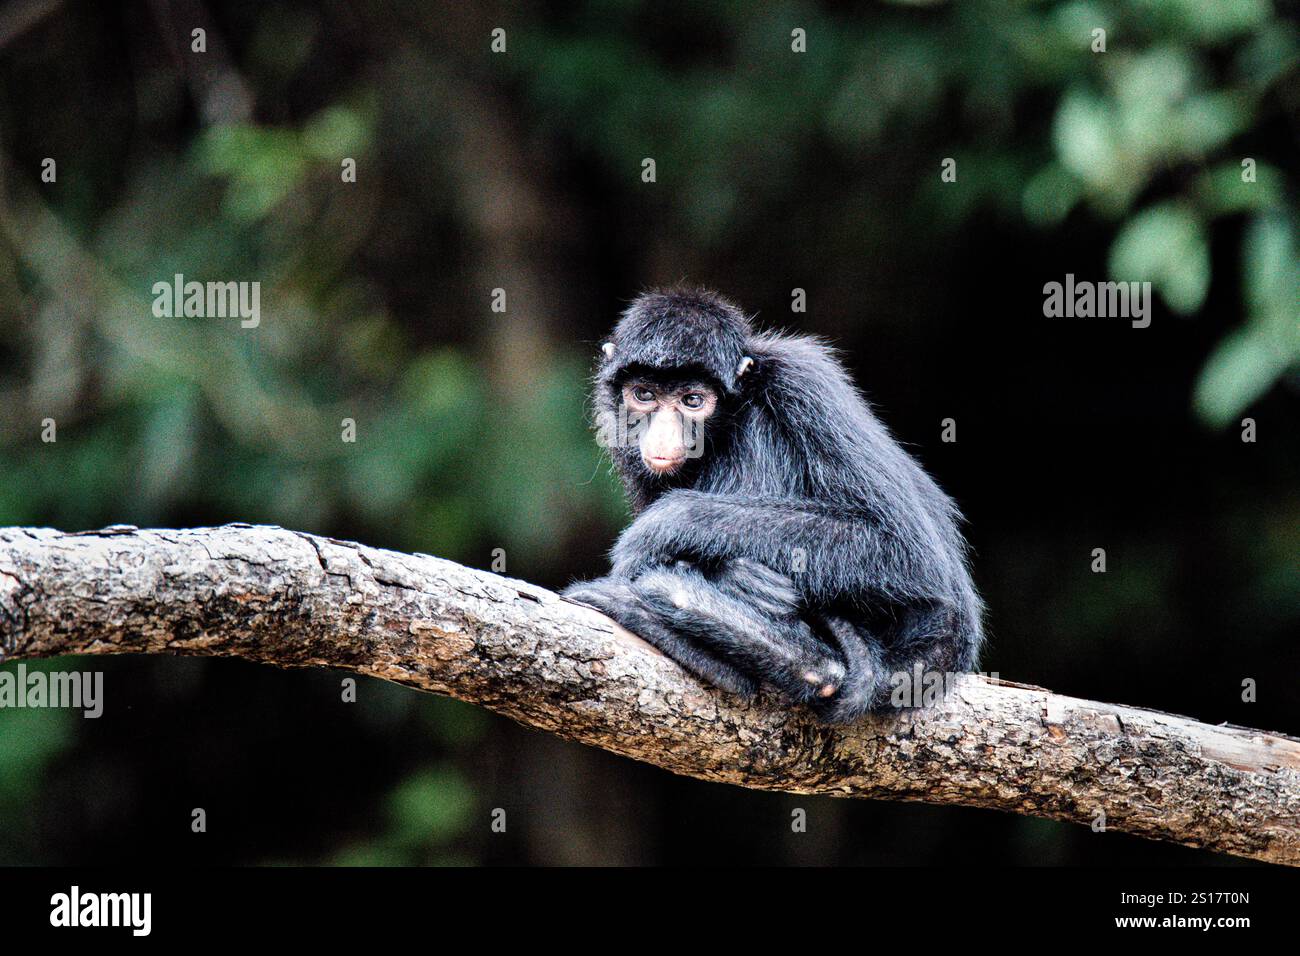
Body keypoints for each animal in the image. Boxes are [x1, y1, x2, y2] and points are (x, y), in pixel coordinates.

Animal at [564, 288, 983, 723]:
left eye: (693, 400)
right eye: (644, 395)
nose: (663, 435)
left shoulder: (803, 380)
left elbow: (908, 553)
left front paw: (661, 528)